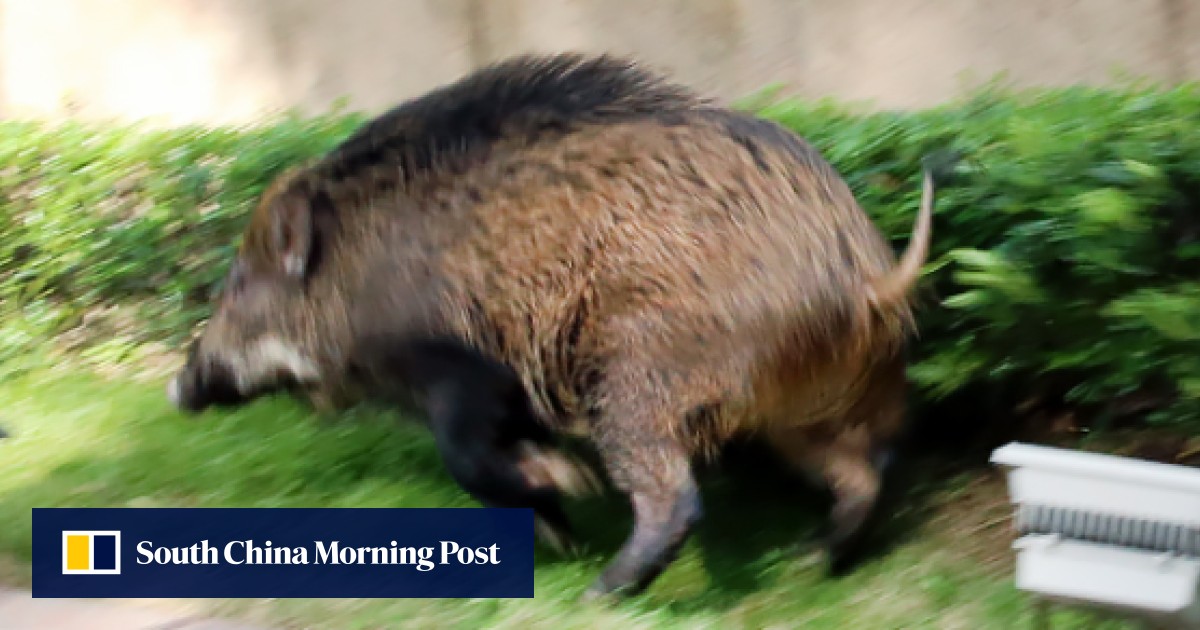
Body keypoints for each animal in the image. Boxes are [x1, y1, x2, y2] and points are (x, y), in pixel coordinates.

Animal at [166, 52, 938, 599]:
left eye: (239, 285)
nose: (179, 385)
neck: (352, 279)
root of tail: (868, 274)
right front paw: (557, 527)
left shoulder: (460, 368)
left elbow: (470, 457)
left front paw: (567, 493)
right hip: (810, 410)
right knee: (861, 474)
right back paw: (812, 562)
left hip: (640, 380)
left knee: (675, 499)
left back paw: (603, 593)